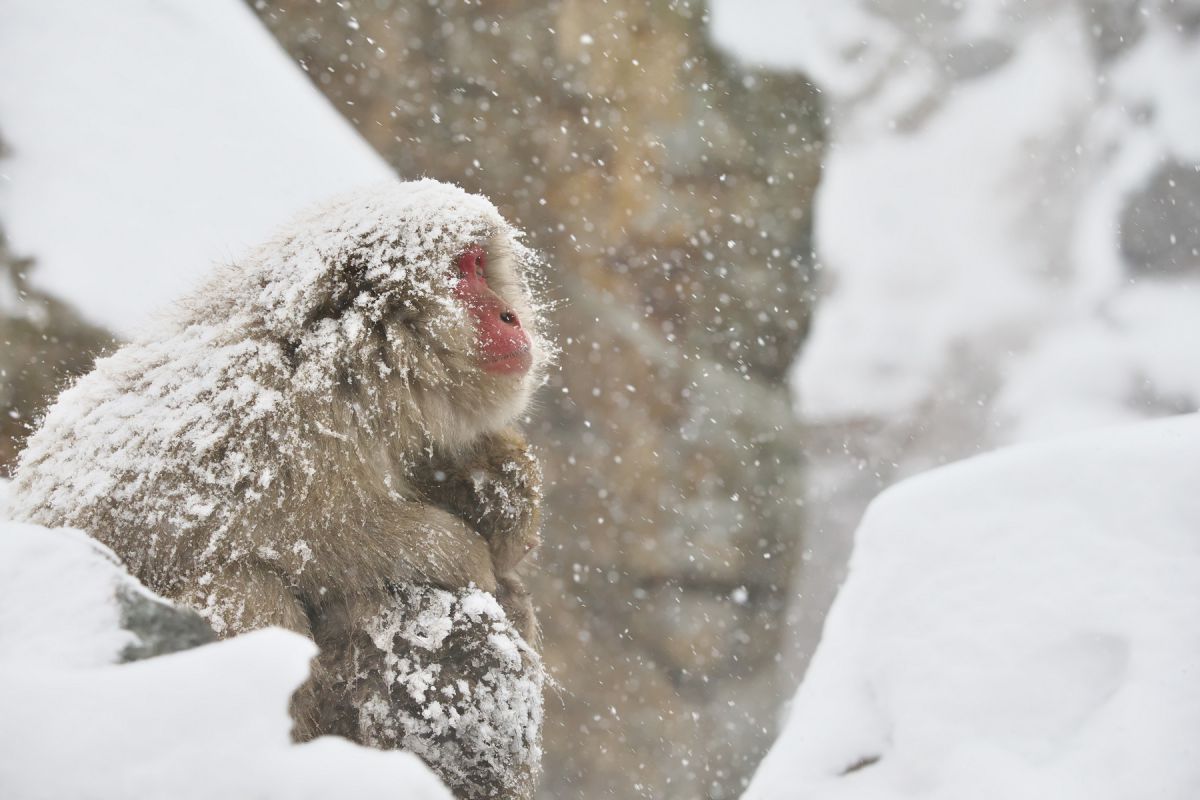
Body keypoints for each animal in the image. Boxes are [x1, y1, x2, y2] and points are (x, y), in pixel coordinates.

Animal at [10, 180, 552, 799]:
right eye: (462, 271)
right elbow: (290, 534)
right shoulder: (272, 418)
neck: (351, 360)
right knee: (246, 587)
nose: (511, 316)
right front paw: (456, 550)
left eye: (483, 266)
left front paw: (505, 490)